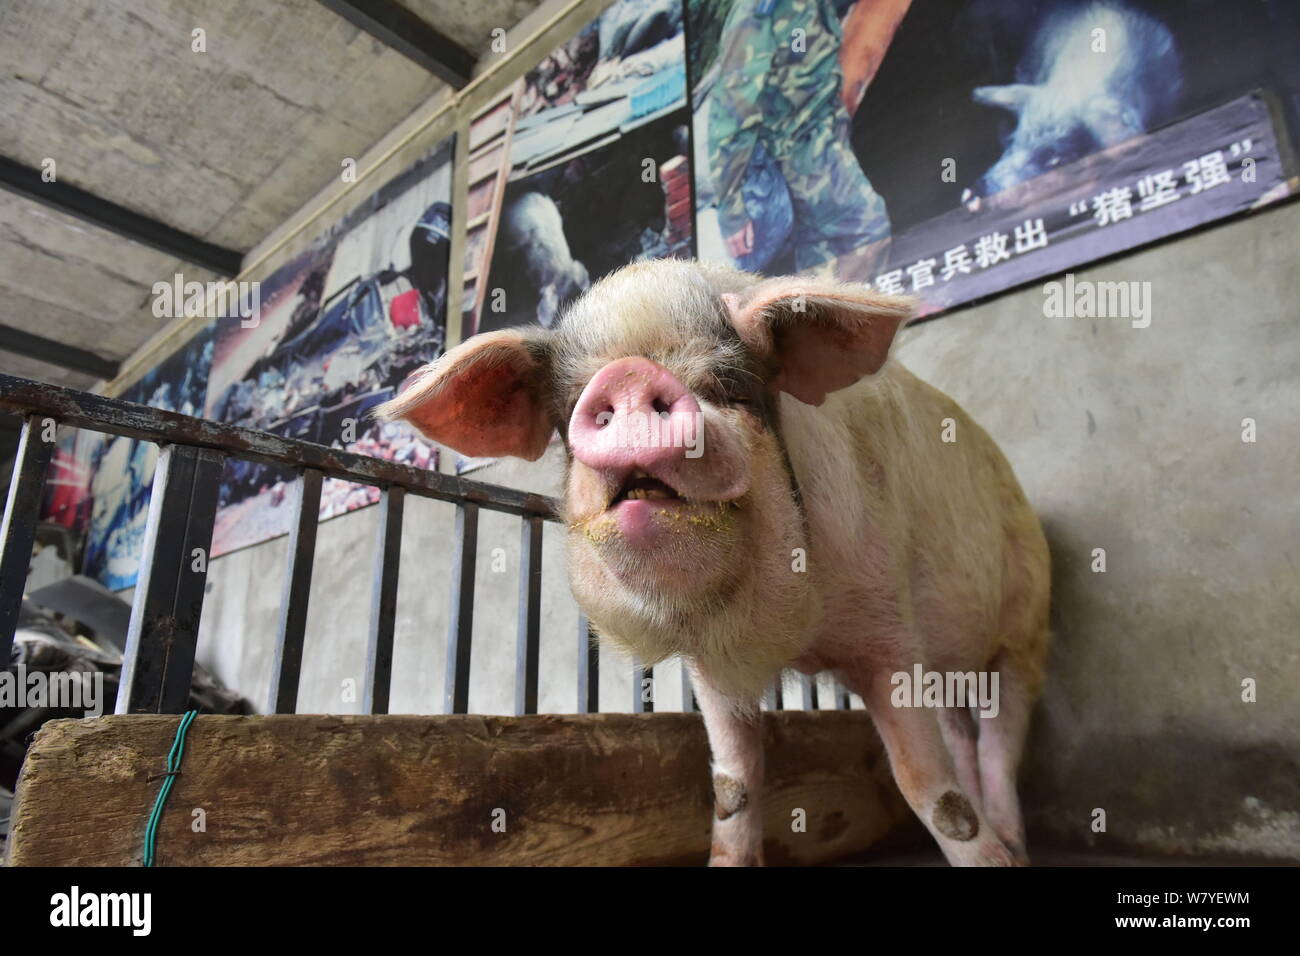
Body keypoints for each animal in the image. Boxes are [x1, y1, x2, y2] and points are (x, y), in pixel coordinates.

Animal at [378, 258, 1050, 866]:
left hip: (1024, 633)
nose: (626, 377)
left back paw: (1015, 848)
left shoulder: (890, 629)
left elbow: (930, 789)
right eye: (569, 413)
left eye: (729, 385)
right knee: (965, 734)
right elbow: (732, 783)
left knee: (1000, 740)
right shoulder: (711, 669)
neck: (804, 639)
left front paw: (985, 855)